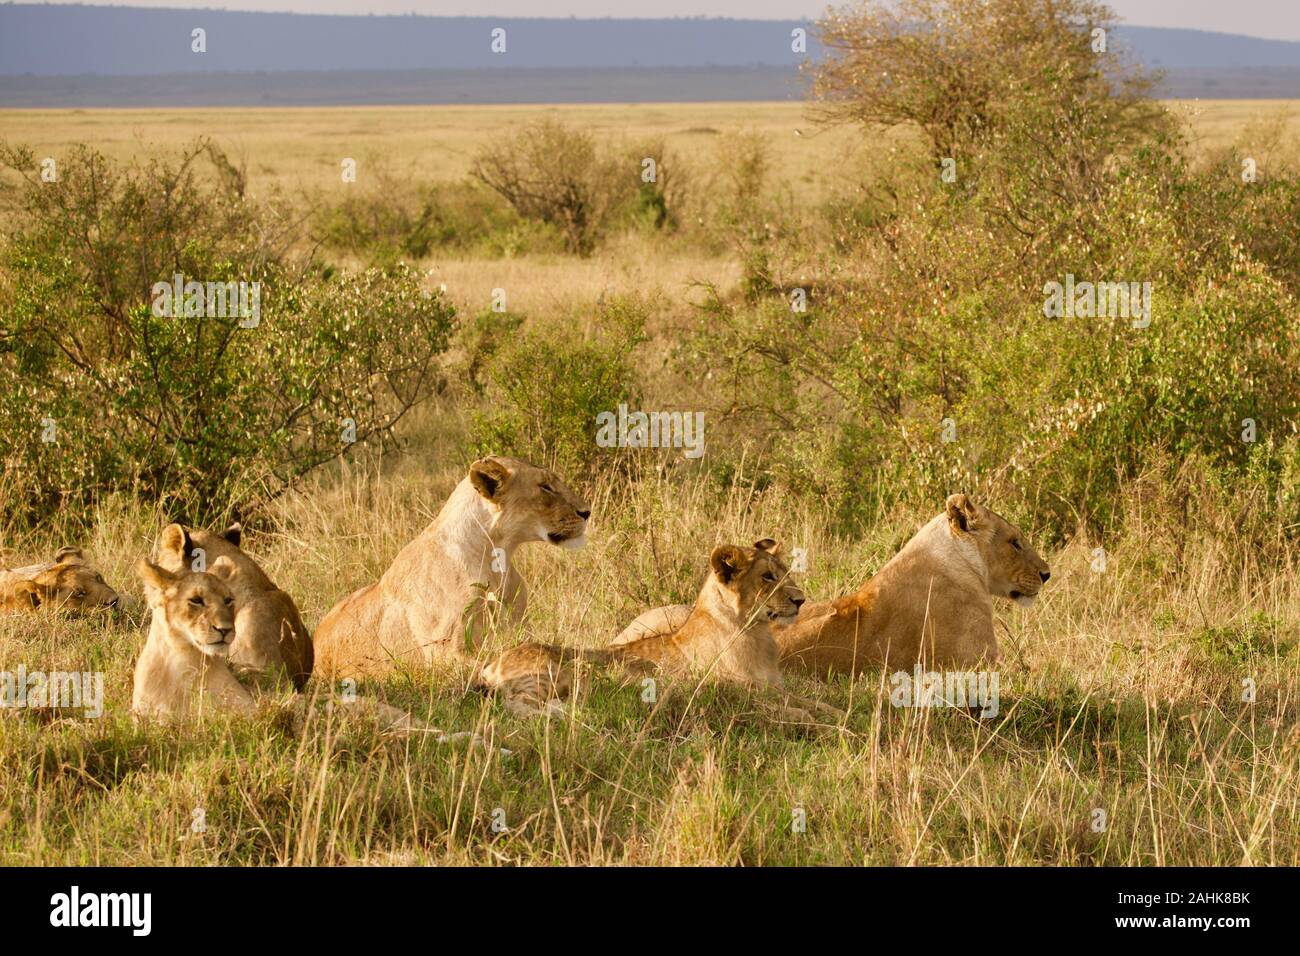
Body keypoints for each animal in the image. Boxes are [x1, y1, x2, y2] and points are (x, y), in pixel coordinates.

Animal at [478, 540, 841, 725]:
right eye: (767, 576)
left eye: (785, 572)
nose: (800, 600)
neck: (756, 631)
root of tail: (492, 662)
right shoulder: (734, 689)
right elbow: (790, 708)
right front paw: (812, 719)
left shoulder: (773, 686)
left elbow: (814, 701)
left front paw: (838, 713)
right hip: (561, 673)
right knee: (514, 704)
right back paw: (564, 712)